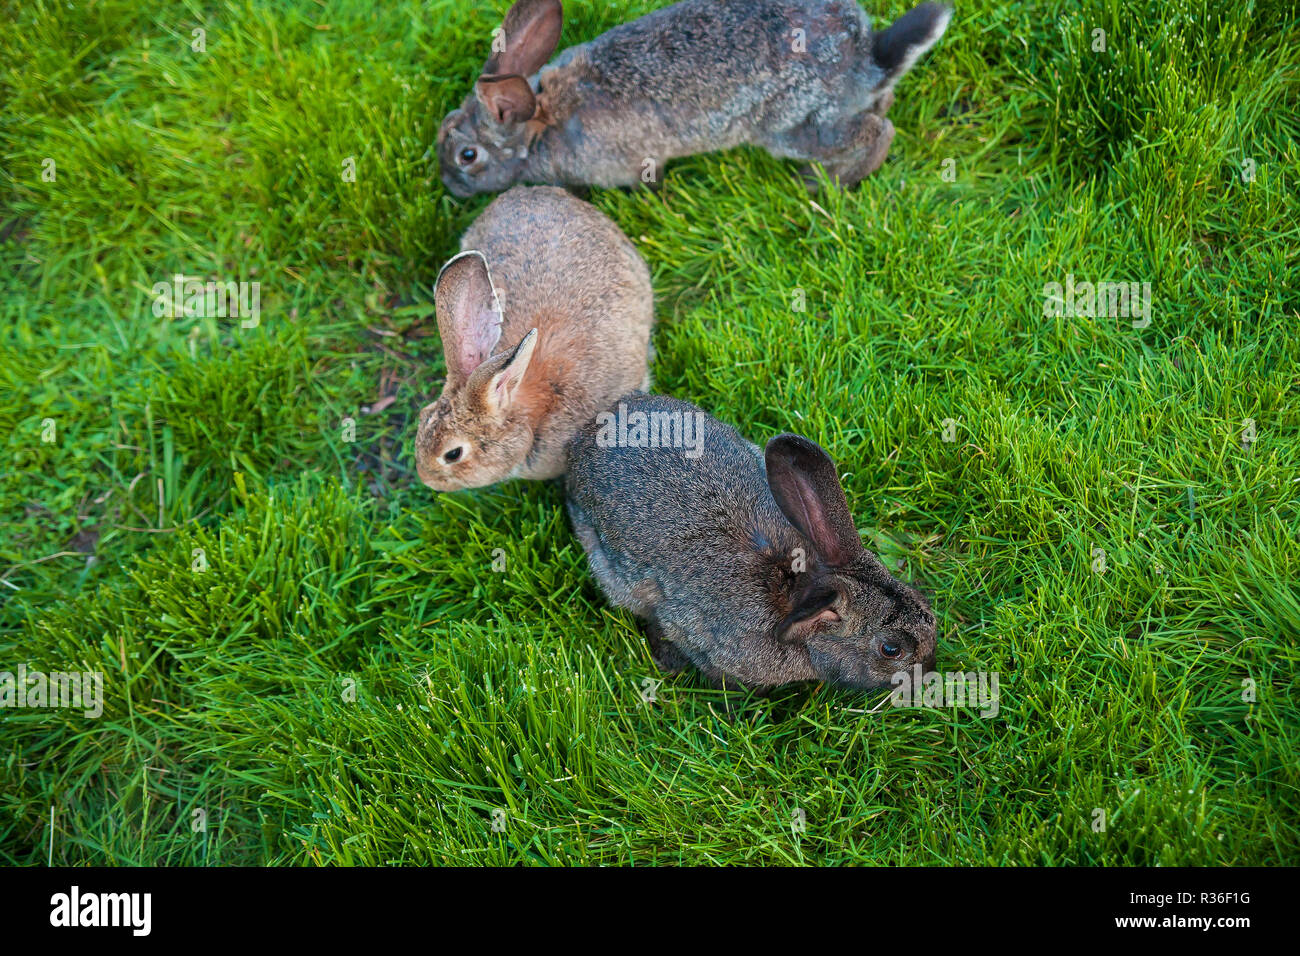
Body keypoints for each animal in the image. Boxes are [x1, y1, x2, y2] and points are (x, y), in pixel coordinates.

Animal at [437, 0, 952, 197]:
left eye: (467, 156)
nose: (448, 186)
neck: (544, 120)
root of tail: (864, 55)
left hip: (791, 126)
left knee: (877, 130)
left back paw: (826, 185)